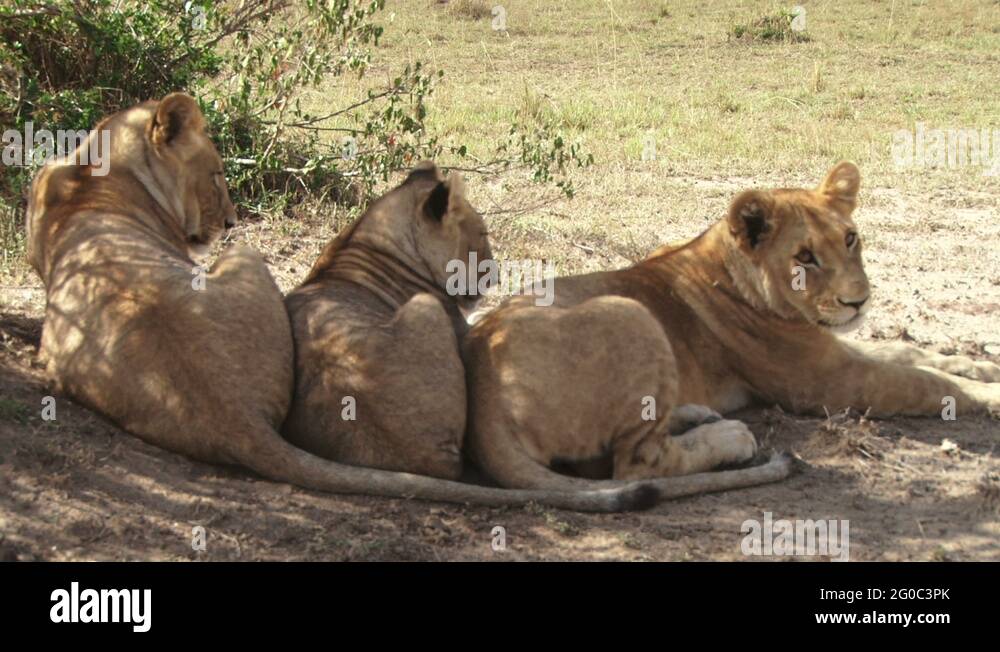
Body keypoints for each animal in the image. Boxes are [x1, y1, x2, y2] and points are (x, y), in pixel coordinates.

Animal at [463, 161, 999, 492]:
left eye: (850, 239)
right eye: (805, 257)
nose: (858, 301)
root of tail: (482, 390)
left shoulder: (835, 350)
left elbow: (915, 354)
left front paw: (979, 364)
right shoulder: (831, 381)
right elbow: (926, 382)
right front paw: (988, 392)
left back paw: (698, 414)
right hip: (635, 316)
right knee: (636, 465)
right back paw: (732, 437)